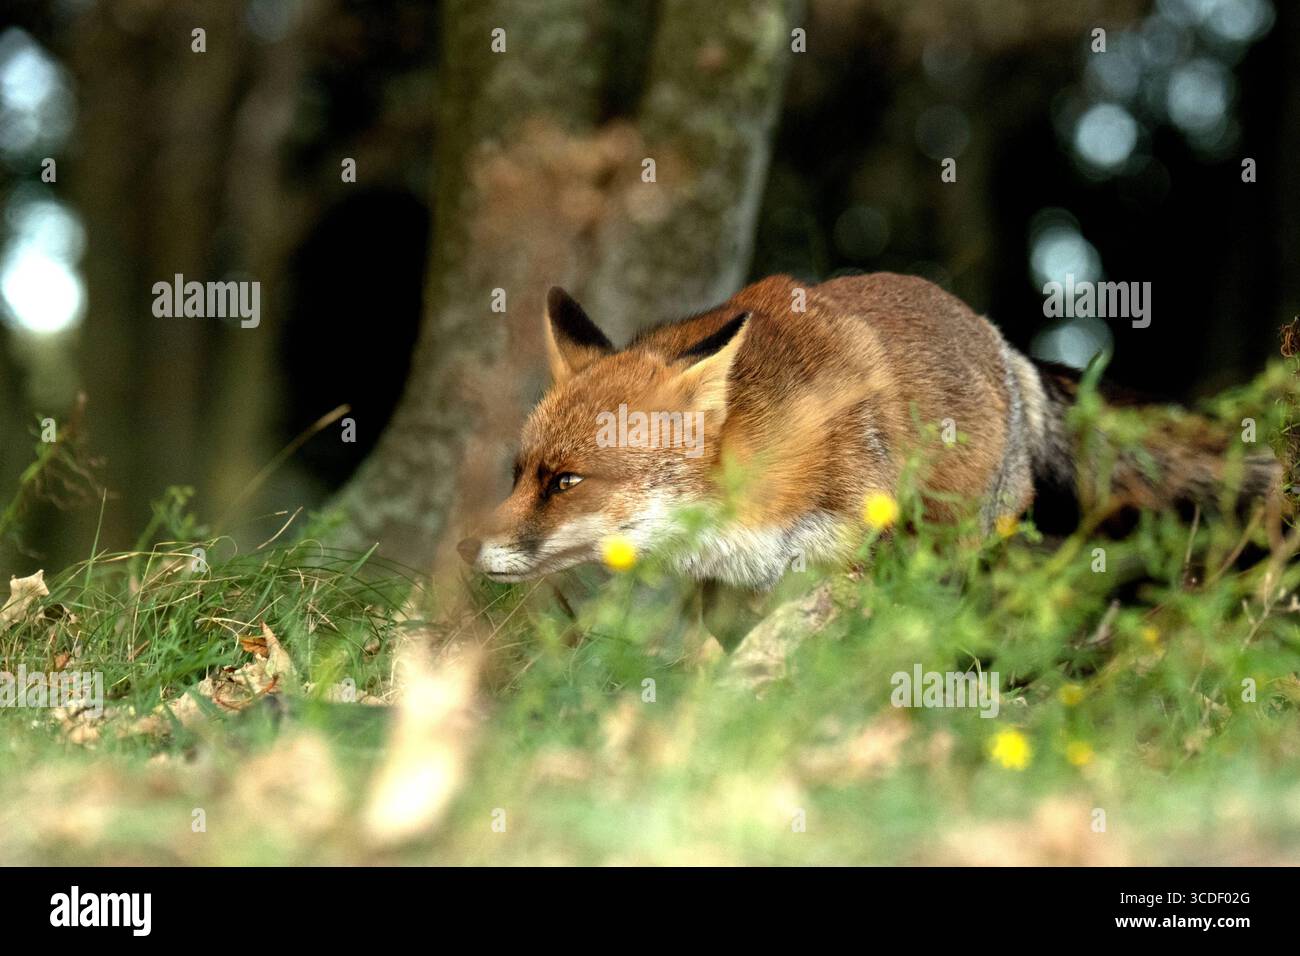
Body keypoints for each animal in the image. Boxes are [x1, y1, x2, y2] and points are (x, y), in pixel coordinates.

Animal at [457, 273, 1280, 601]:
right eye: (518, 473)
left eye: (566, 481)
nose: (464, 548)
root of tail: (1002, 343)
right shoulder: (729, 589)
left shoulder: (839, 557)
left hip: (957, 544)